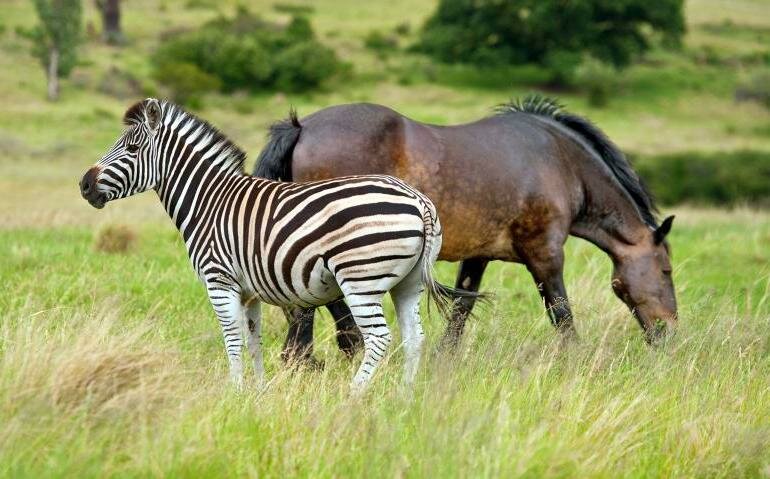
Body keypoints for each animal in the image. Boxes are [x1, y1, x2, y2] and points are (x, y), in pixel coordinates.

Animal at [79, 98, 475, 391]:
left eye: (131, 148)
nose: (84, 185)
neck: (209, 201)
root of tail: (417, 200)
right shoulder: (248, 291)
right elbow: (253, 341)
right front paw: (258, 392)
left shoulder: (219, 281)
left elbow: (232, 338)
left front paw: (235, 392)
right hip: (408, 282)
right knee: (414, 337)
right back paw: (404, 398)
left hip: (360, 280)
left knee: (379, 338)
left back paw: (354, 396)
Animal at [253, 95, 677, 362]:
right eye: (667, 270)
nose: (669, 333)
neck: (561, 162)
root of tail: (302, 127)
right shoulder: (545, 253)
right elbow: (561, 311)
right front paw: (575, 358)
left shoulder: (479, 255)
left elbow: (462, 307)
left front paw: (444, 360)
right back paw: (323, 355)